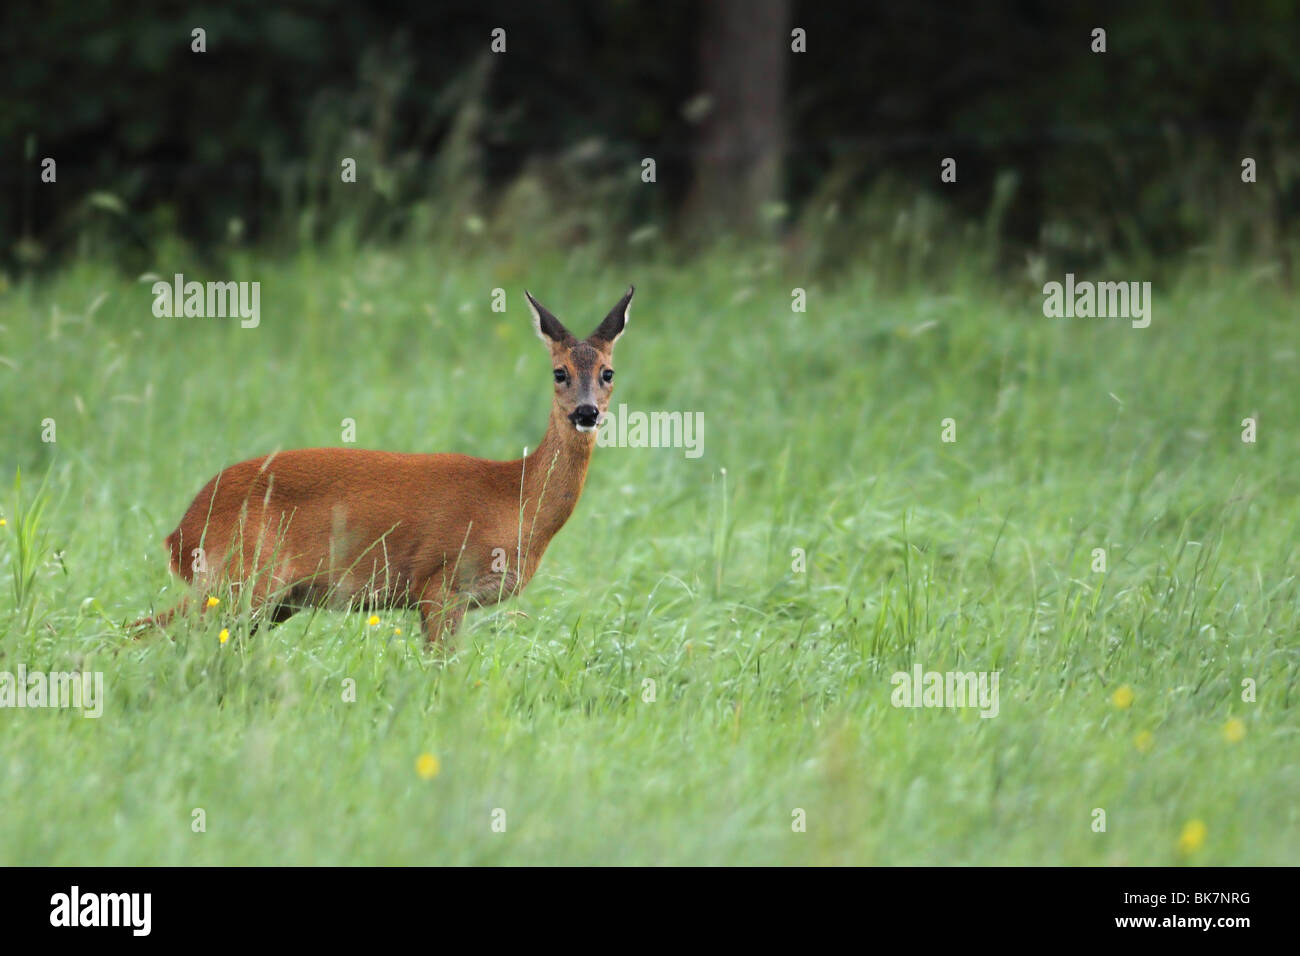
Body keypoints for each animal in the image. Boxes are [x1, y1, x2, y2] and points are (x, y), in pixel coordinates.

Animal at [132, 287, 633, 646]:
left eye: (607, 372)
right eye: (559, 372)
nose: (586, 412)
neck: (518, 498)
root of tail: (180, 532)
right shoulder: (441, 585)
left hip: (267, 599)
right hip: (239, 578)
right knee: (143, 630)